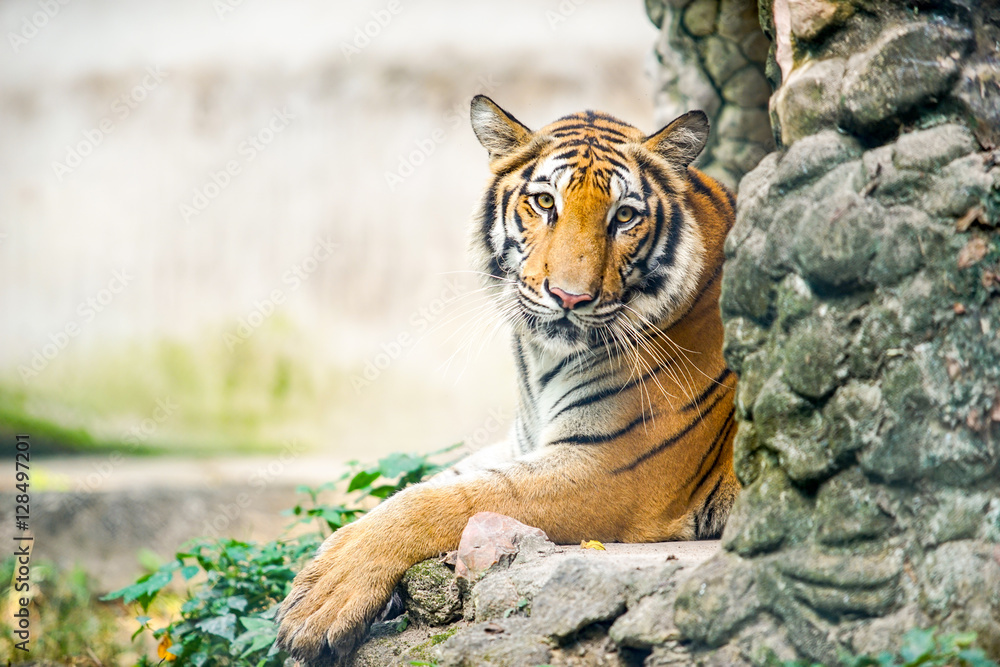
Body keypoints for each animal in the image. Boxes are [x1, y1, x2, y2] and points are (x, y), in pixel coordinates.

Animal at [275, 95, 739, 665]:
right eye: (544, 202)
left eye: (625, 216)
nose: (569, 297)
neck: (539, 360)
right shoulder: (526, 442)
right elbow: (430, 482)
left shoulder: (609, 468)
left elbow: (447, 500)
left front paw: (323, 598)